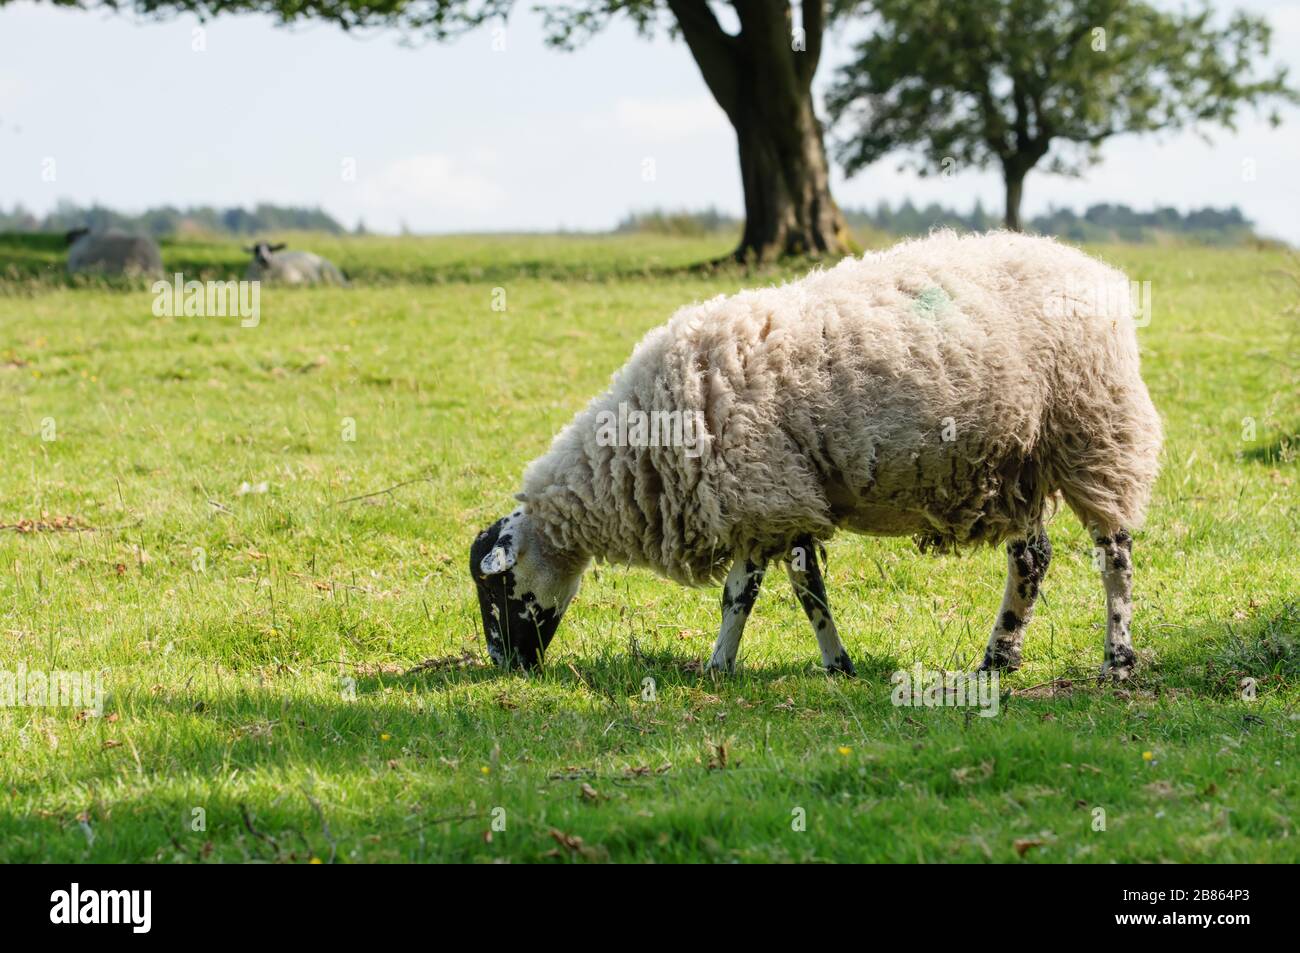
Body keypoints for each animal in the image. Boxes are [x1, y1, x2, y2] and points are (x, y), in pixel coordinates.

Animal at [470, 231, 1162, 681]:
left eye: (495, 585)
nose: (507, 667)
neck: (638, 453)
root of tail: (1098, 272)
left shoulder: (765, 493)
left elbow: (782, 592)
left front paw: (800, 664)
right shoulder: (763, 501)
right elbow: (764, 590)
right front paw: (751, 663)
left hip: (1095, 432)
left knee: (1114, 553)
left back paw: (1118, 659)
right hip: (1020, 460)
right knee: (1032, 561)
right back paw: (997, 658)